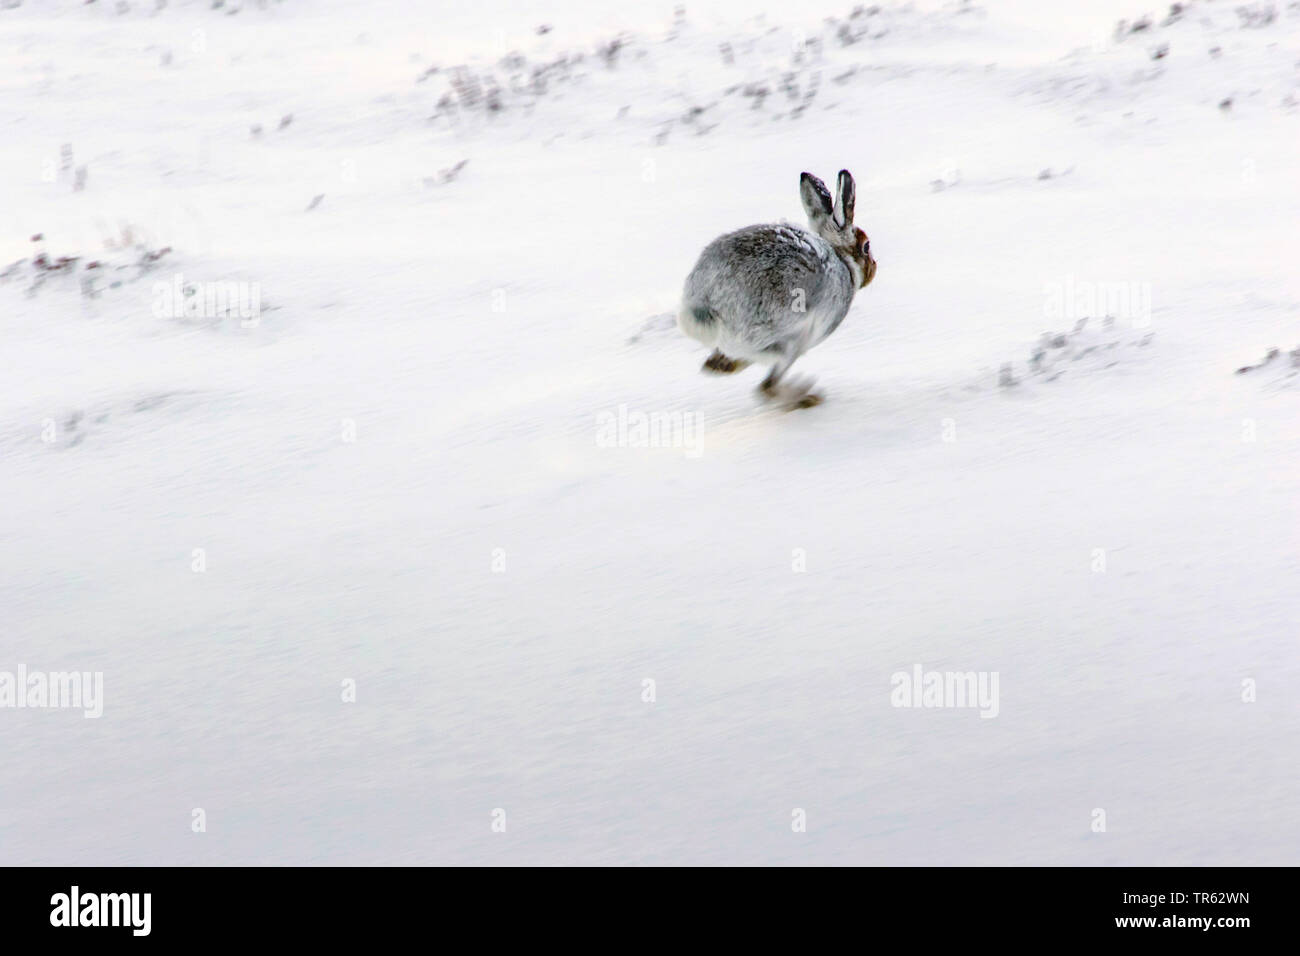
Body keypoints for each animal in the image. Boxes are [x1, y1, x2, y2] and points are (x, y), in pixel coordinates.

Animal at [678, 169, 877, 408]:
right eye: (866, 247)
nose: (874, 268)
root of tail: (706, 304)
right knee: (766, 386)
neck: (842, 260)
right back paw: (806, 397)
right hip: (787, 339)